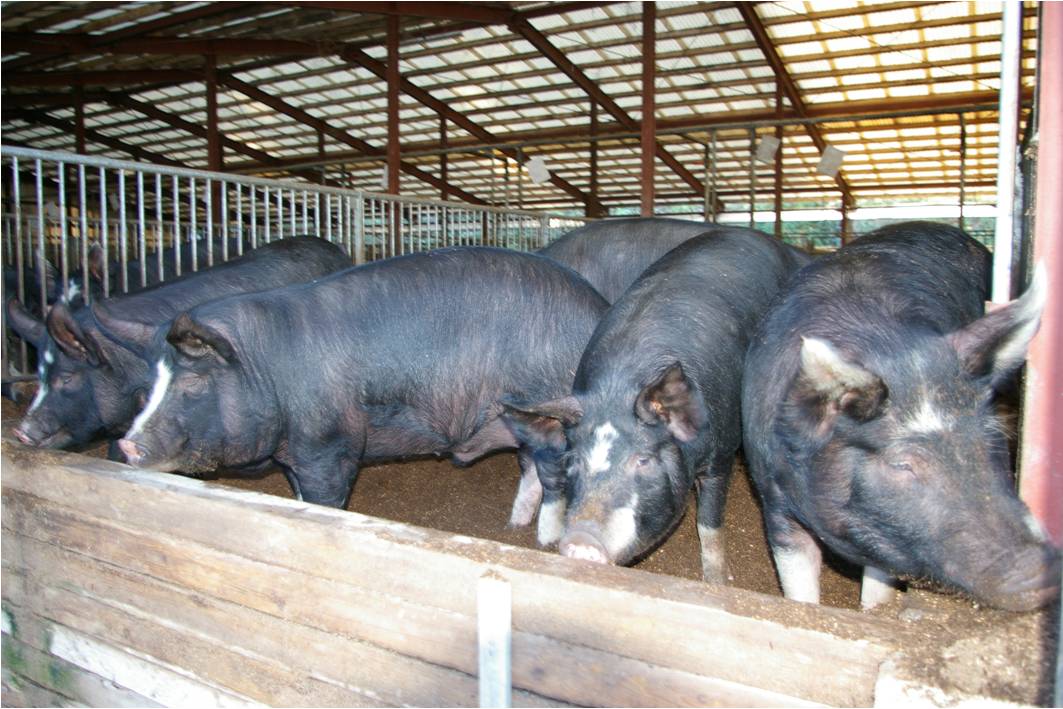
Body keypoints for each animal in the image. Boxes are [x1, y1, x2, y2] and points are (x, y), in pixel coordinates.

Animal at [116, 247, 609, 510]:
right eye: (150, 385)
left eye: (192, 385)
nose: (126, 444)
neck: (267, 368)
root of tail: (599, 306)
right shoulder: (294, 451)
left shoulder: (329, 442)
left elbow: (327, 494)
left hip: (547, 402)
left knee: (554, 469)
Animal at [502, 228, 811, 578]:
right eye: (574, 460)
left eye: (643, 460)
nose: (581, 541)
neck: (619, 389)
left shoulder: (721, 452)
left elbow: (709, 524)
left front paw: (717, 580)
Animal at [741, 220, 1060, 611]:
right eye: (902, 464)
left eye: (990, 440)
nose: (1041, 567)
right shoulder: (772, 492)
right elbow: (797, 580)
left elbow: (878, 585)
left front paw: (872, 611)